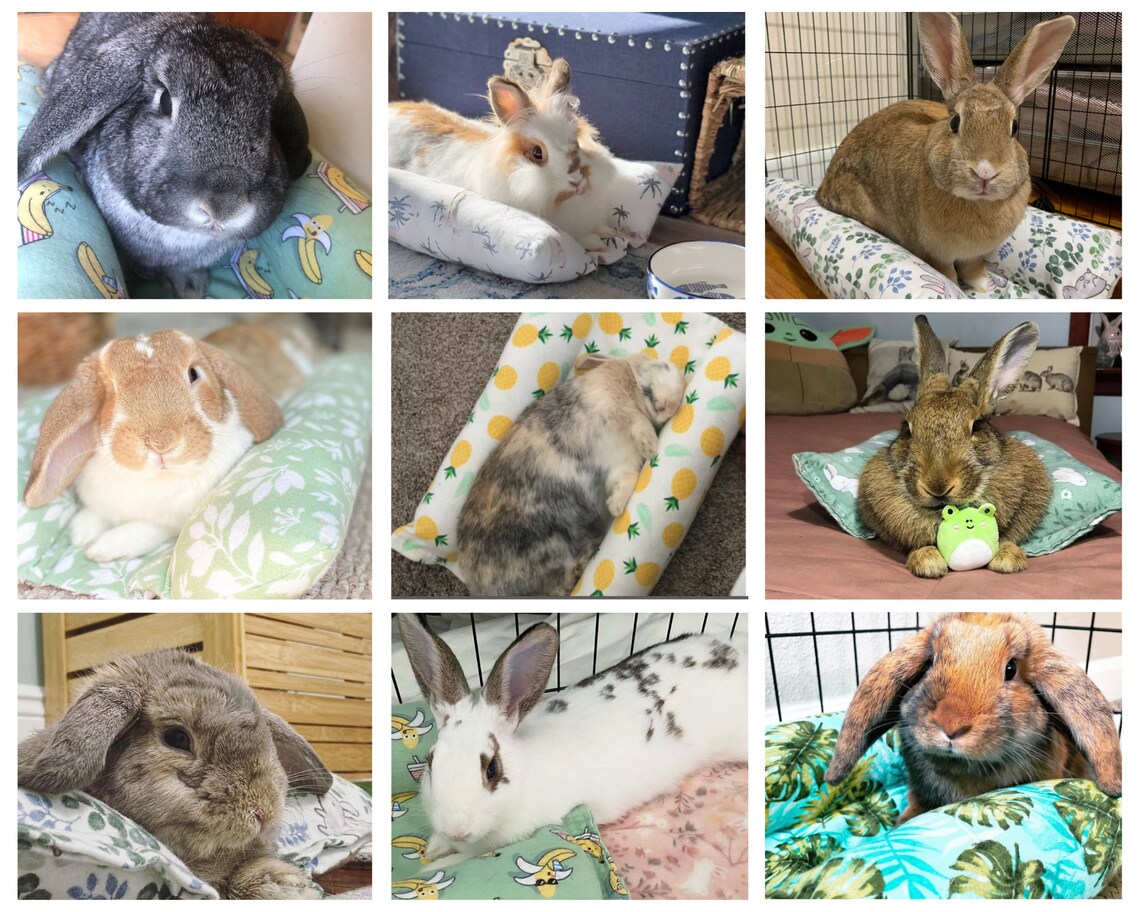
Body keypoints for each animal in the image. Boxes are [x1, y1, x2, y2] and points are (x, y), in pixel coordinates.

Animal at [23, 324, 312, 562]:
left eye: (194, 374)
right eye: (111, 390)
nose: (161, 442)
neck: (155, 478)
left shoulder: (169, 524)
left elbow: (143, 530)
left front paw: (102, 548)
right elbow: (95, 514)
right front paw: (80, 532)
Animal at [396, 614, 747, 865]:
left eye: (492, 769)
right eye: (431, 762)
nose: (456, 828)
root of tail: (734, 650)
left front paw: (435, 863)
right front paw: (434, 847)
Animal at [457, 353, 686, 596]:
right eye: (664, 365)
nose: (670, 407)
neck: (632, 386)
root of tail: (480, 587)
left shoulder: (623, 465)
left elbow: (628, 479)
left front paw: (615, 505)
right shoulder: (610, 400)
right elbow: (636, 420)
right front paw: (651, 444)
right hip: (546, 545)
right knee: (565, 582)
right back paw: (592, 549)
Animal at [816, 13, 1075, 293]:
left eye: (1014, 128)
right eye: (954, 122)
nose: (985, 171)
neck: (976, 203)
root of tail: (823, 188)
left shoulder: (974, 255)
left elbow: (973, 269)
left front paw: (983, 286)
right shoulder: (933, 252)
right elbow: (947, 274)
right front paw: (958, 290)